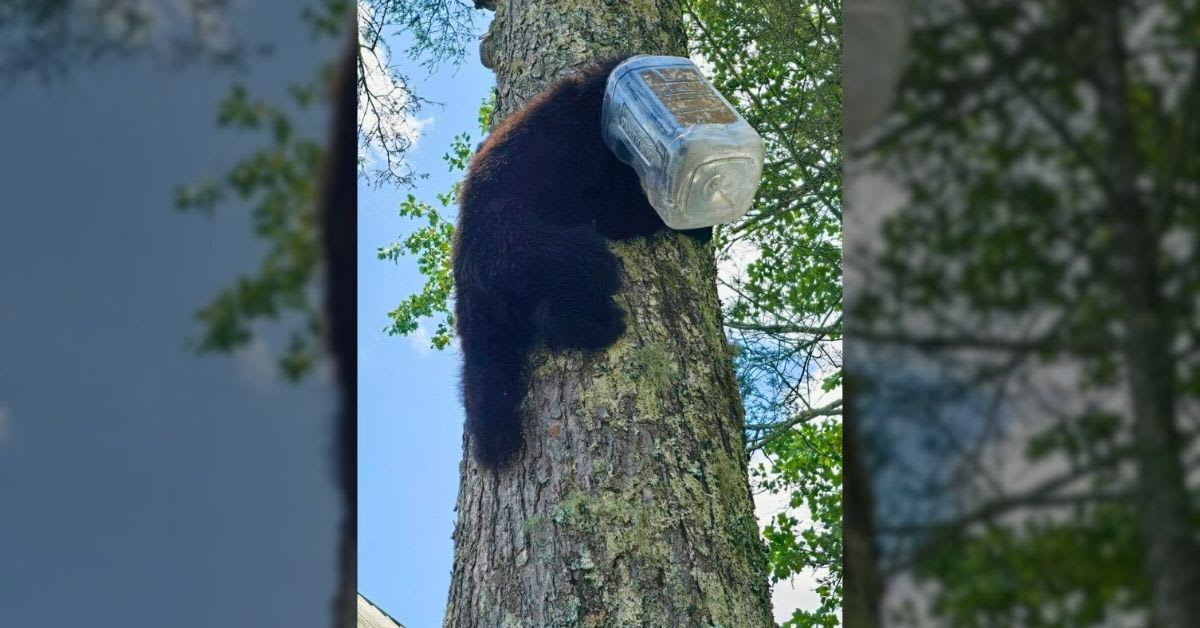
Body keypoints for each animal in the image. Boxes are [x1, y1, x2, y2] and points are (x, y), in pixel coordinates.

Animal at [453, 54, 706, 470]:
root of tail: (471, 276)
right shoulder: (595, 176)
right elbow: (625, 211)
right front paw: (698, 225)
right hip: (552, 251)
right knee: (559, 307)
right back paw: (603, 325)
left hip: (488, 329)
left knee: (485, 375)